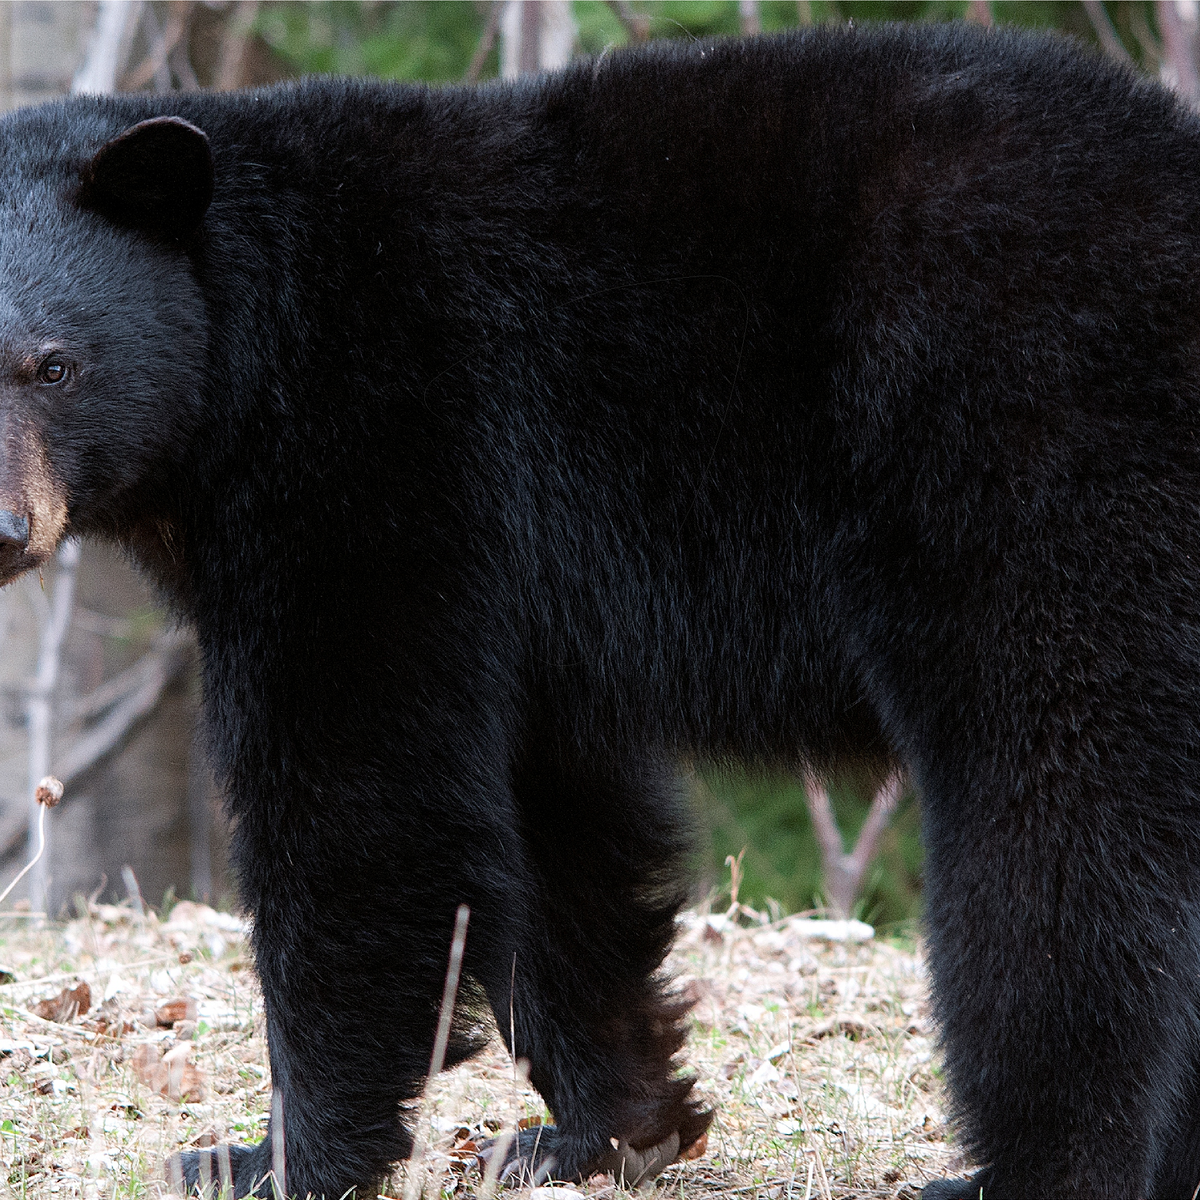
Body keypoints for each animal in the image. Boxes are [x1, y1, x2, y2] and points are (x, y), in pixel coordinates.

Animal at [0, 17, 1198, 1199]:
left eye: (53, 366)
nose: (6, 529)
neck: (251, 353)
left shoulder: (383, 469)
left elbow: (362, 801)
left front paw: (272, 1156)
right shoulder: (524, 598)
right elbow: (558, 835)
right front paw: (600, 1131)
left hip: (1027, 455)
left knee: (1049, 817)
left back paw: (1032, 1165)